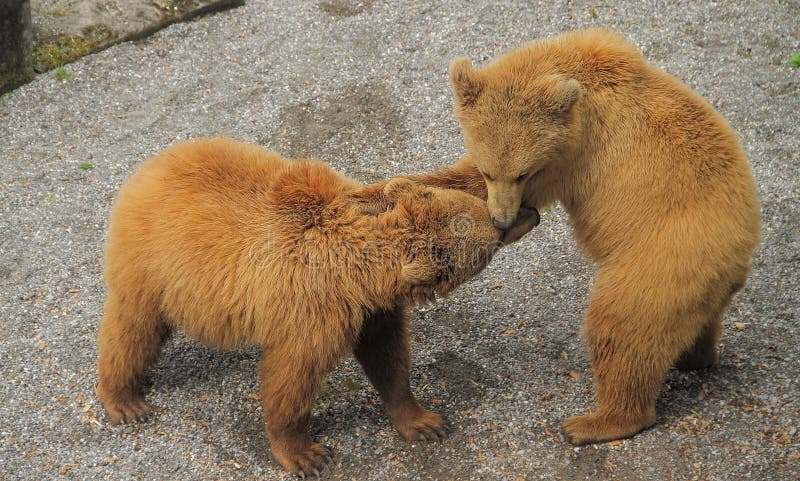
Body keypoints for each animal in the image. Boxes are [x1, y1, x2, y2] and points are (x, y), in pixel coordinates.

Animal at [96, 137, 538, 476]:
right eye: (494, 229)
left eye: (479, 207)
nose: (529, 212)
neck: (362, 271)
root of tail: (146, 169)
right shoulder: (313, 307)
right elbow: (292, 374)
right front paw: (306, 454)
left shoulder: (372, 311)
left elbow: (388, 359)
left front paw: (424, 421)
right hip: (152, 267)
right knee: (133, 329)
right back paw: (124, 400)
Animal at [358, 28, 761, 445]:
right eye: (490, 170)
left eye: (521, 173)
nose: (501, 218)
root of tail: (743, 246)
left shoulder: (573, 157)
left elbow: (468, 185)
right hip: (698, 280)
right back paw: (695, 357)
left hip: (661, 260)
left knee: (622, 327)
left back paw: (593, 422)